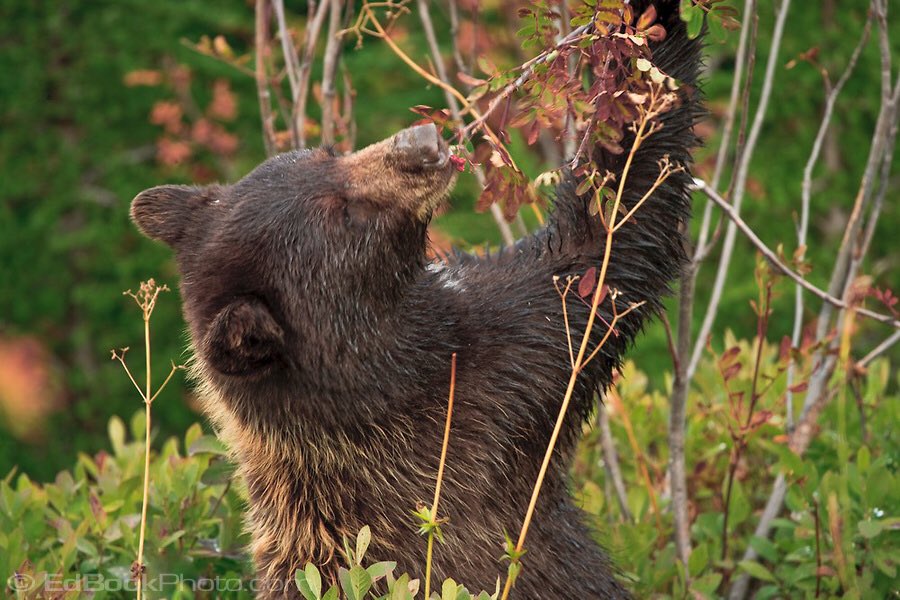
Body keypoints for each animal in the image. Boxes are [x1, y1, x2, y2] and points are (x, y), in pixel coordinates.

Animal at [130, 1, 701, 597]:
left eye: (328, 152)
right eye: (343, 214)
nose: (421, 141)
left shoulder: (499, 357)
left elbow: (600, 241)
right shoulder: (497, 396)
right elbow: (609, 246)